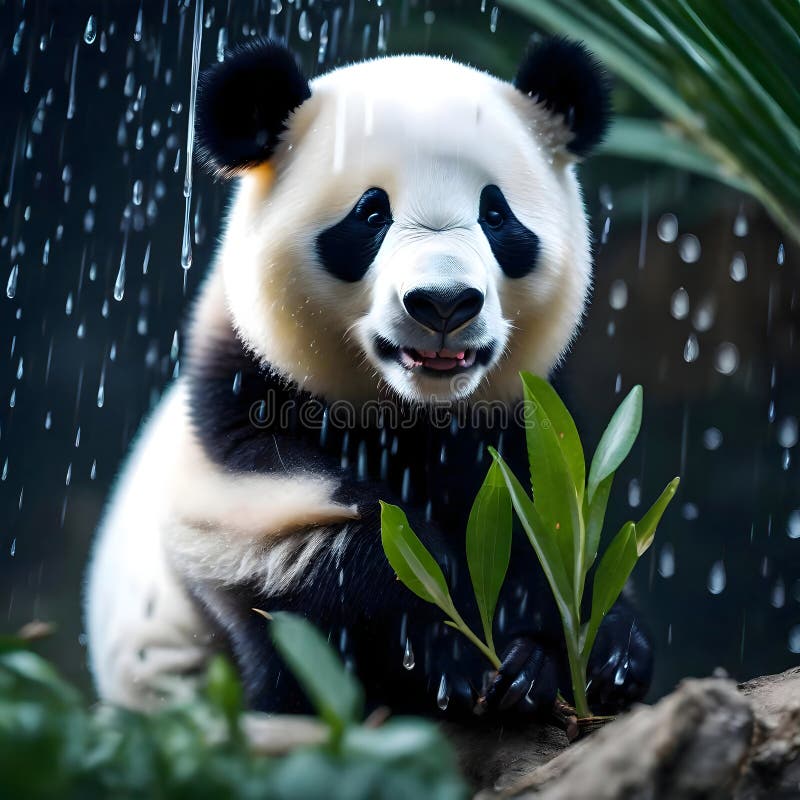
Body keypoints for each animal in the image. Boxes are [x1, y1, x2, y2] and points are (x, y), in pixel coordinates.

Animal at [85, 37, 653, 720]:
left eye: (496, 214)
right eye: (370, 212)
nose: (443, 303)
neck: (406, 408)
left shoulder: (525, 411)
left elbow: (549, 524)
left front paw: (587, 655)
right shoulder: (228, 409)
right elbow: (294, 527)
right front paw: (438, 621)